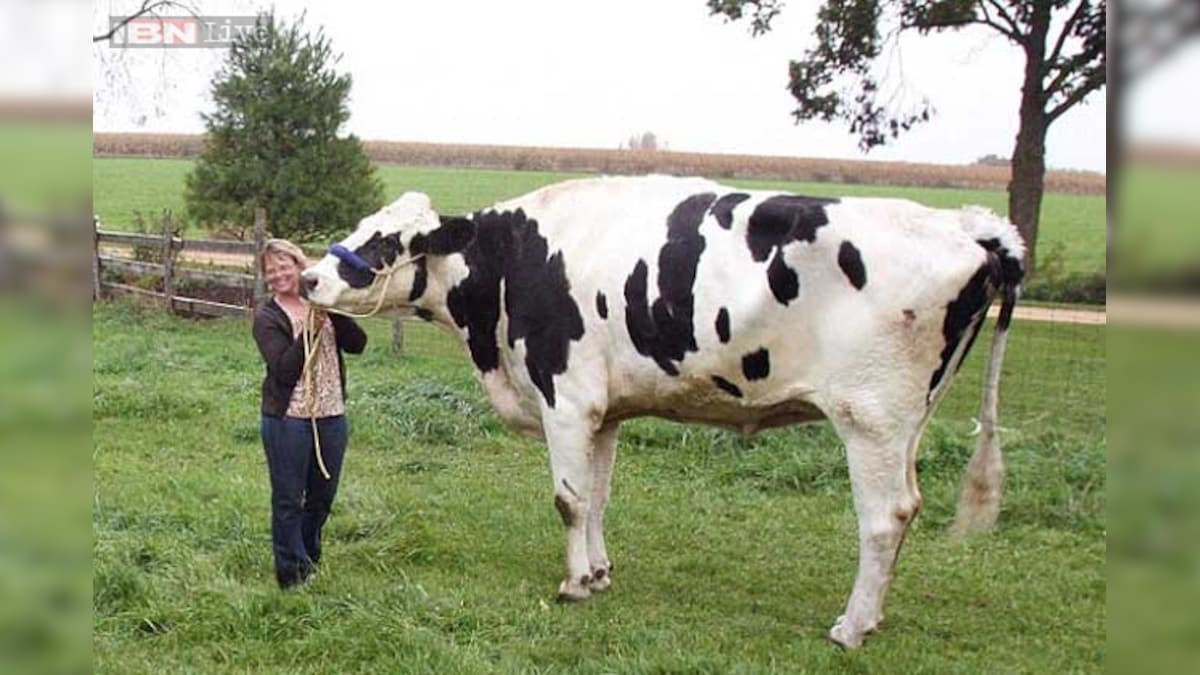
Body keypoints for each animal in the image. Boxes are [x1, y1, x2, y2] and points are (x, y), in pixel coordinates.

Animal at [301, 175, 1025, 648]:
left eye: (385, 239)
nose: (309, 277)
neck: (509, 265)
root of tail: (969, 226)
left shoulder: (567, 398)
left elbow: (568, 499)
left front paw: (573, 585)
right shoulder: (605, 409)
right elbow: (596, 498)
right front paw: (597, 574)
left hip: (871, 417)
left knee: (884, 517)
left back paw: (850, 627)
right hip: (908, 422)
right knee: (905, 509)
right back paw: (870, 618)